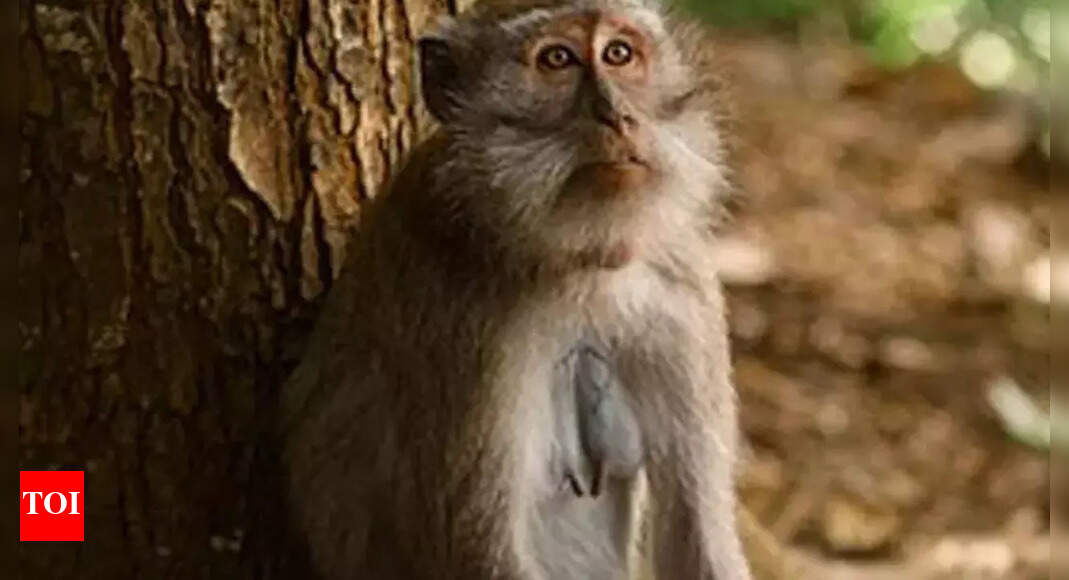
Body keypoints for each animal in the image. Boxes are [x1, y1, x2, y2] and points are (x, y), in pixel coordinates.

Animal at [281, 0, 750, 579]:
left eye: (619, 53)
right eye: (557, 59)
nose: (618, 115)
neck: (580, 262)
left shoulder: (683, 293)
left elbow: (696, 534)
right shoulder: (466, 329)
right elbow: (473, 546)